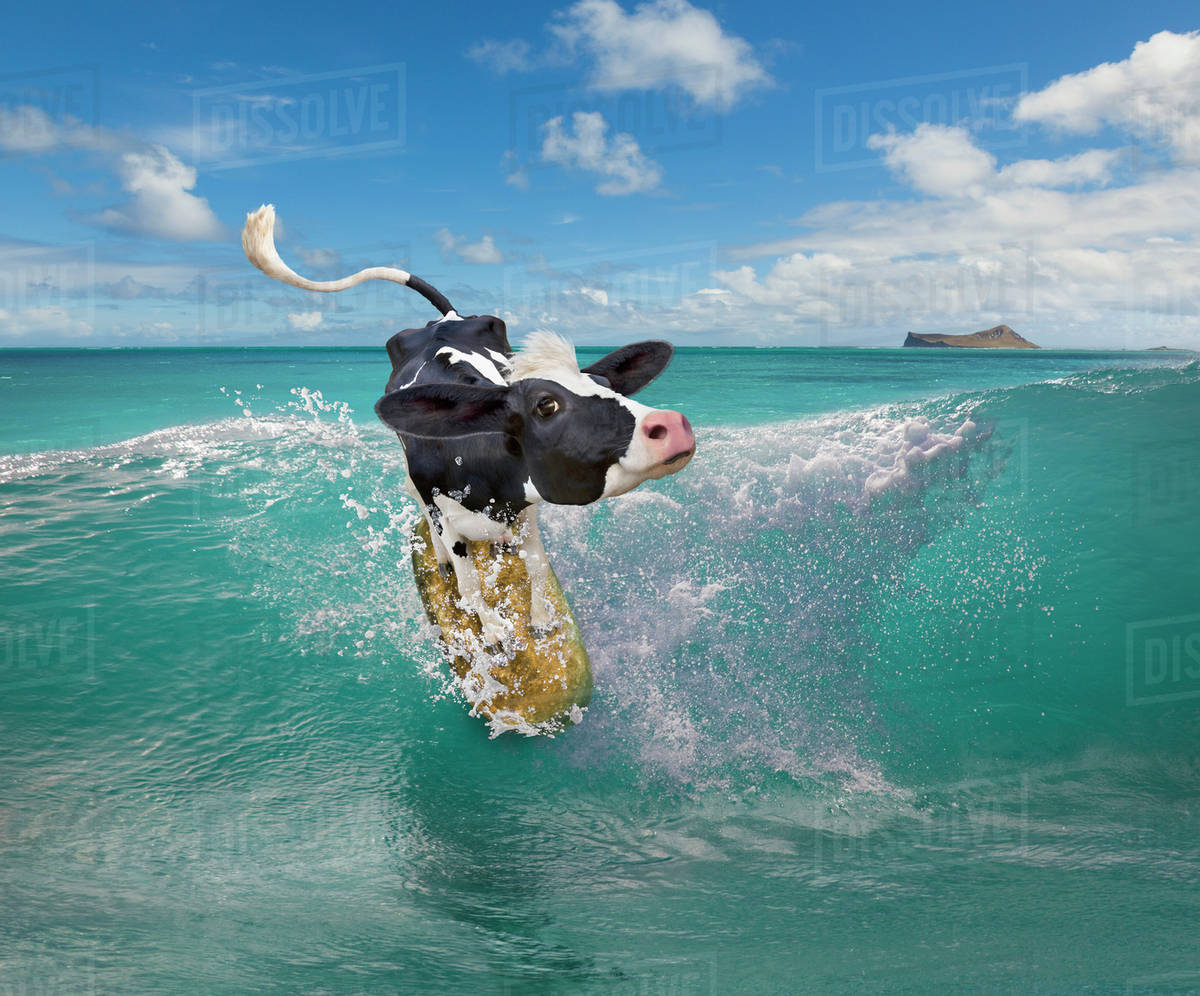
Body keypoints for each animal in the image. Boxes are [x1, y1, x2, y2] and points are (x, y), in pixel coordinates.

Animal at [242, 205, 695, 646]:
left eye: (604, 384)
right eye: (545, 405)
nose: (672, 424)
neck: (489, 484)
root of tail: (444, 321)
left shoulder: (527, 503)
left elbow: (536, 564)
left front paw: (540, 618)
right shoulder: (445, 509)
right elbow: (469, 581)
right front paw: (492, 629)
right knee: (422, 512)